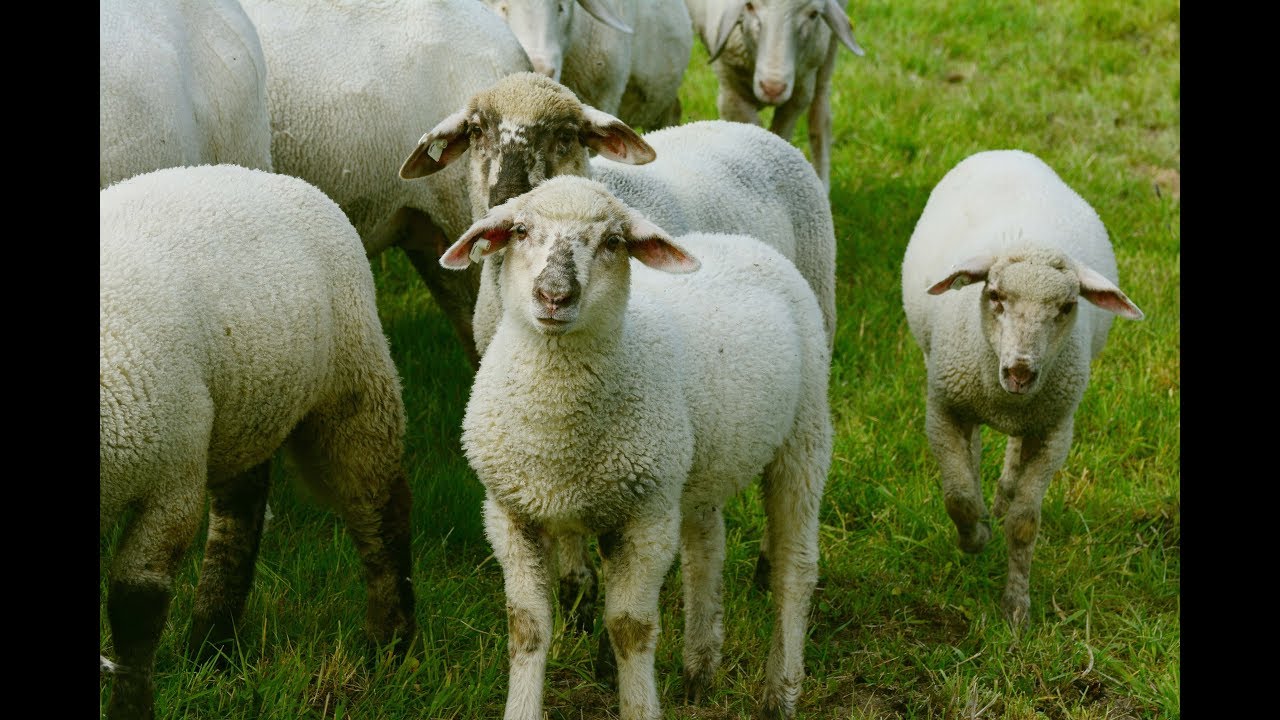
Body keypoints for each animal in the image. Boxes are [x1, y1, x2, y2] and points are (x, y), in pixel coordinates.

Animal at [100, 165, 415, 720]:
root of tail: (269, 175)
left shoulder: (171, 484)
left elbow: (136, 606)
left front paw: (130, 709)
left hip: (352, 381)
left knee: (380, 506)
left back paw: (389, 644)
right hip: (246, 405)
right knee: (241, 514)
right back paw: (212, 645)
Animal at [399, 69, 836, 634]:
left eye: (566, 135)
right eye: (476, 131)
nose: (507, 197)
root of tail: (747, 128)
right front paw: (576, 592)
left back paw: (767, 568)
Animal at [441, 175, 832, 720]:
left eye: (612, 242)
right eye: (520, 230)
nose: (554, 295)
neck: (557, 439)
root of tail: (744, 242)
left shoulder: (645, 519)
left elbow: (630, 630)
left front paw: (638, 704)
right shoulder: (511, 513)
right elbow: (527, 626)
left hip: (804, 432)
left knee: (795, 567)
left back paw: (781, 691)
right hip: (696, 464)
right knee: (706, 547)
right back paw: (700, 666)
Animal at [684, 0, 867, 191]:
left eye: (813, 14)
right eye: (749, 6)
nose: (773, 88)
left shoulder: (800, 90)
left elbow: (780, 136)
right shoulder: (731, 93)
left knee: (820, 110)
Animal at [901, 149, 1146, 626]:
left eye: (1067, 307)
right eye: (994, 295)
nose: (1020, 372)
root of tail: (1008, 152)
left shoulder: (1054, 431)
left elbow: (1024, 523)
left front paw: (1016, 607)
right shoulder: (942, 410)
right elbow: (957, 497)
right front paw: (974, 537)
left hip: (1036, 413)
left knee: (1013, 452)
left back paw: (1002, 494)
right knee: (974, 452)